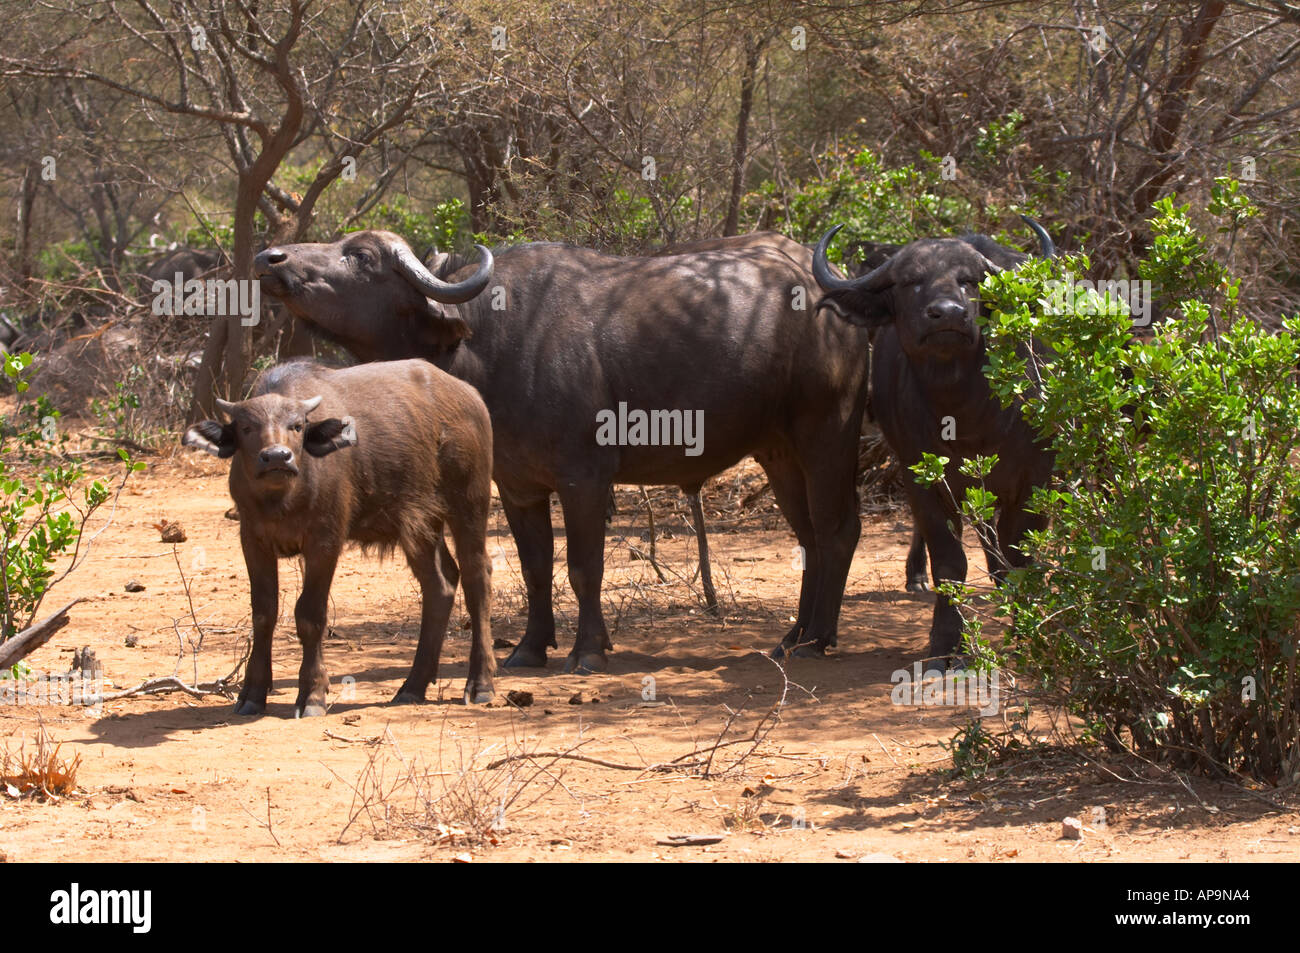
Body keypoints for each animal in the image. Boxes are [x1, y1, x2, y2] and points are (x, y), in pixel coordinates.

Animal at [182, 358, 496, 716]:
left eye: (297, 426)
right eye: (247, 428)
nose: (277, 456)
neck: (283, 498)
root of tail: (471, 397)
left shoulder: (325, 540)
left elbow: (310, 614)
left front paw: (312, 694)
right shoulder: (253, 539)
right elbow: (263, 612)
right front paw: (253, 694)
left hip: (469, 503)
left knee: (476, 576)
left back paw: (481, 684)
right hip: (419, 523)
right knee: (440, 585)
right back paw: (413, 686)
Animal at [254, 230, 871, 673]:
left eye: (360, 256)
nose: (270, 257)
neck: (486, 343)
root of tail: (831, 288)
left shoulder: (585, 479)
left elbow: (582, 565)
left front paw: (588, 649)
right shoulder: (518, 487)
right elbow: (535, 566)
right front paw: (529, 647)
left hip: (827, 434)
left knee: (837, 530)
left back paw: (820, 639)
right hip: (779, 453)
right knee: (809, 538)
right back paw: (794, 635)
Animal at [812, 218, 1055, 669]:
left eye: (970, 280)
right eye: (912, 281)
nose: (949, 314)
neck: (968, 413)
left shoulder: (1037, 477)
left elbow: (1021, 554)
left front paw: (1027, 632)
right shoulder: (920, 476)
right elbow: (949, 559)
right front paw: (945, 643)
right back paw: (921, 577)